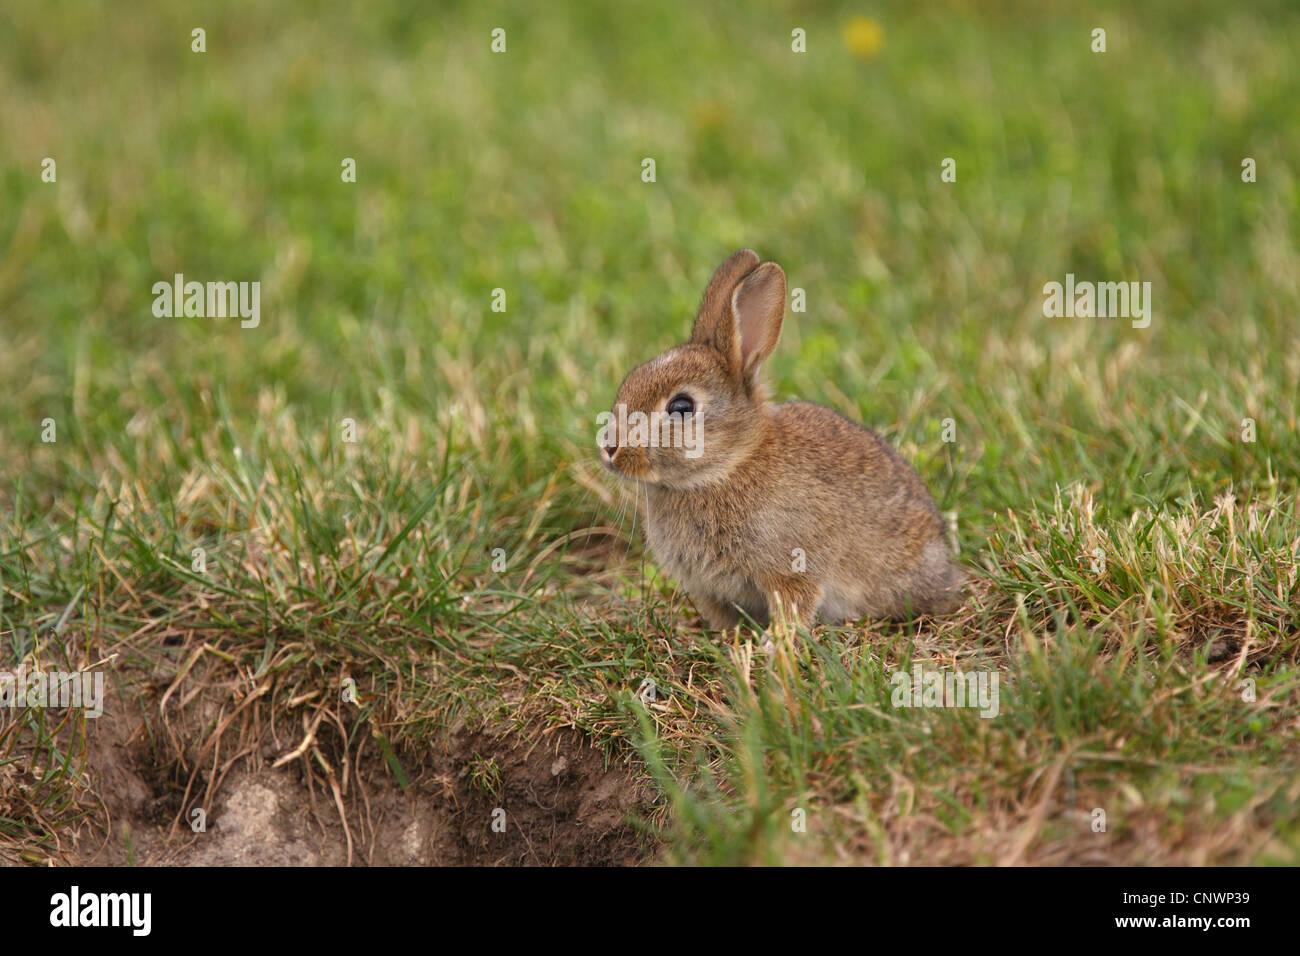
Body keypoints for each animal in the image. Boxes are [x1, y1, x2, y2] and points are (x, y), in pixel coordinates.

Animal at [598, 248, 965, 632]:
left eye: (681, 406)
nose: (609, 449)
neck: (726, 467)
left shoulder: (793, 569)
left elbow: (794, 604)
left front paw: (775, 641)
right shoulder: (709, 590)